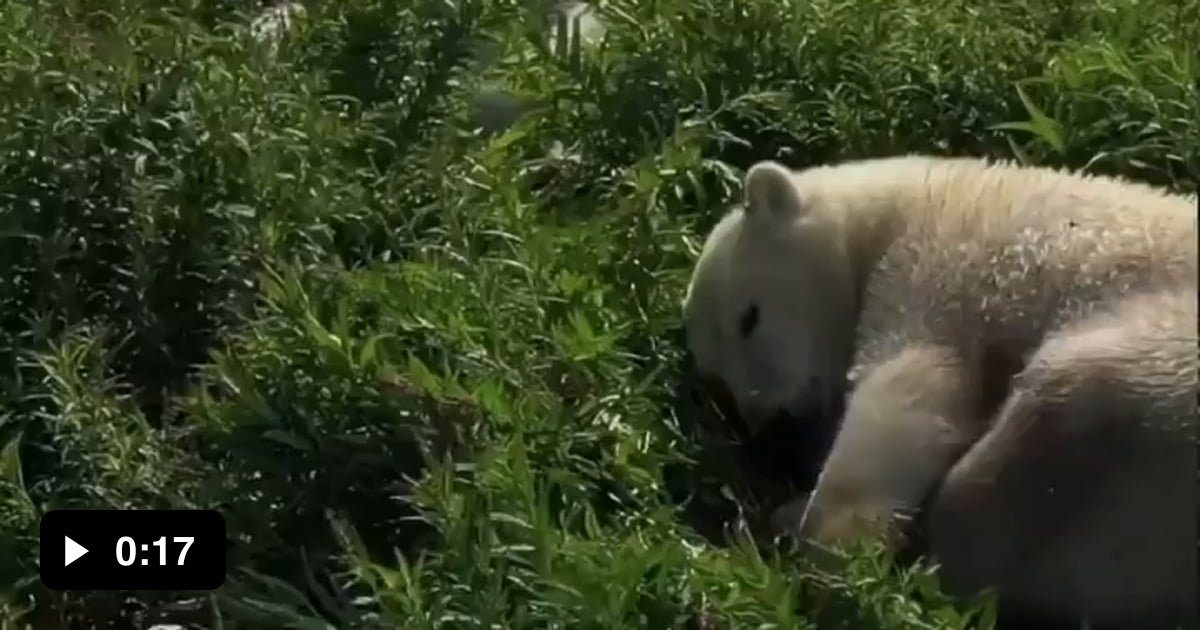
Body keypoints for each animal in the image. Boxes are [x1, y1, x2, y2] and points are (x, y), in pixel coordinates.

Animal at [681, 154, 1198, 627]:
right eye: (718, 383)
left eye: (749, 318)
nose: (773, 433)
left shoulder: (933, 268)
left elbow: (906, 396)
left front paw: (838, 563)